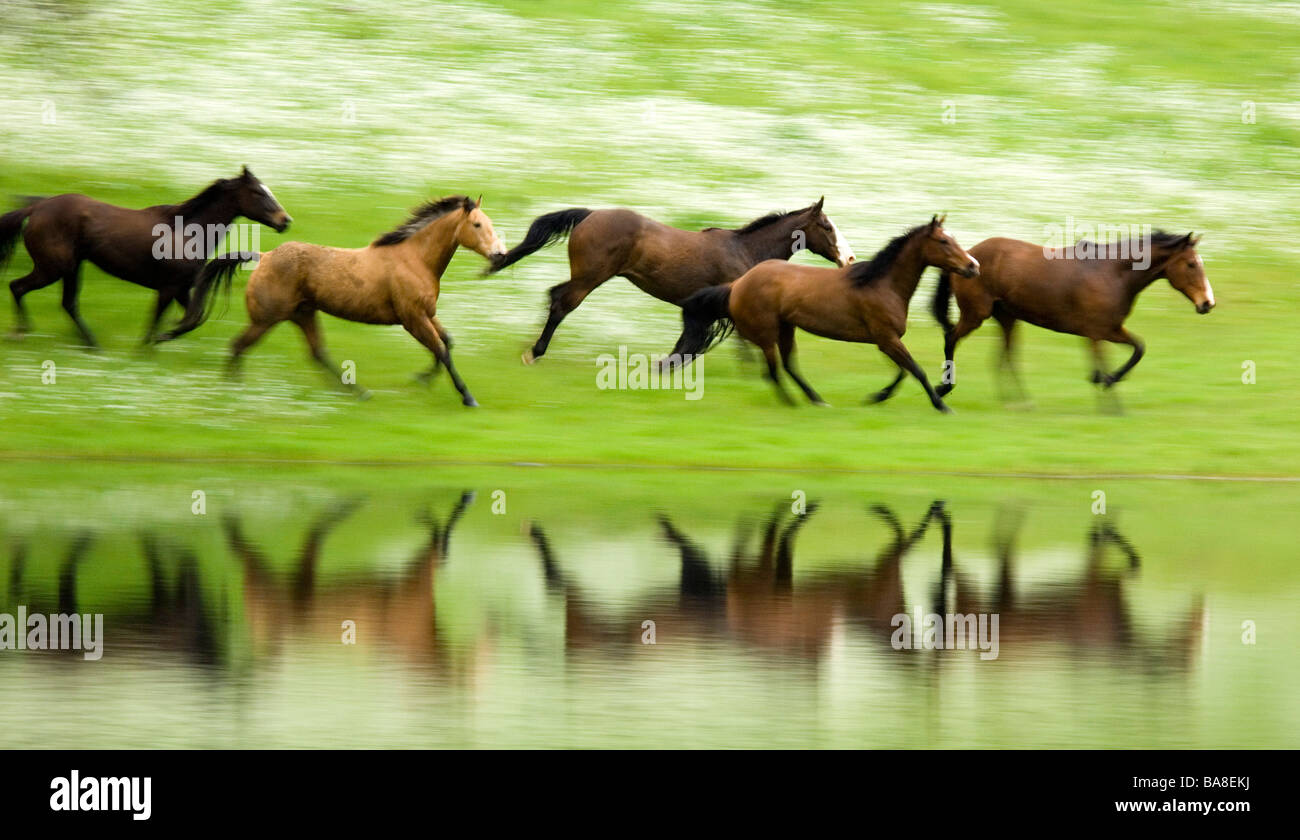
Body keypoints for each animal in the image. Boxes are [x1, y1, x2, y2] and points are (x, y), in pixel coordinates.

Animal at [0, 166, 291, 347]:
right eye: (258, 192)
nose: (285, 221)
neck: (186, 232)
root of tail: (37, 208)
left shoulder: (182, 289)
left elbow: (193, 319)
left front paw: (163, 337)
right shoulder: (168, 288)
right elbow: (157, 320)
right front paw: (147, 348)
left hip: (71, 267)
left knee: (67, 303)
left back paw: (92, 345)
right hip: (53, 268)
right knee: (18, 287)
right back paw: (20, 333)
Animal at [165, 195, 505, 406]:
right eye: (477, 224)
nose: (499, 254)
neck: (414, 259)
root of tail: (264, 256)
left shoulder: (426, 313)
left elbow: (446, 343)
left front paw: (422, 379)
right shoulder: (412, 318)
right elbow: (442, 350)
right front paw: (468, 398)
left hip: (303, 313)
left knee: (317, 353)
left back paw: (358, 393)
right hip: (267, 318)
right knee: (238, 346)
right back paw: (233, 390)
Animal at [483, 197, 855, 364]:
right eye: (826, 226)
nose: (848, 259)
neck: (746, 250)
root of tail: (590, 215)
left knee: (554, 294)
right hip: (591, 277)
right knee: (561, 303)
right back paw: (535, 352)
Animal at [663, 215, 979, 413]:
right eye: (944, 242)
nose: (973, 266)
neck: (881, 284)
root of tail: (737, 284)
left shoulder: (886, 340)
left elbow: (904, 371)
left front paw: (877, 396)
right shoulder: (886, 338)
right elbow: (915, 369)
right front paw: (941, 404)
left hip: (786, 328)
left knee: (788, 366)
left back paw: (817, 400)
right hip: (765, 332)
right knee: (773, 371)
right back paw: (793, 403)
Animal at [930, 231, 1213, 402]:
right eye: (1191, 264)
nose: (1207, 303)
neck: (1113, 274)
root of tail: (967, 258)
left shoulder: (1109, 330)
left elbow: (1138, 348)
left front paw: (1104, 380)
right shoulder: (1100, 332)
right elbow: (1125, 356)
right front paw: (1109, 386)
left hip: (1007, 318)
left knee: (1004, 358)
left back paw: (1018, 401)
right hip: (976, 314)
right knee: (951, 338)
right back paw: (944, 388)